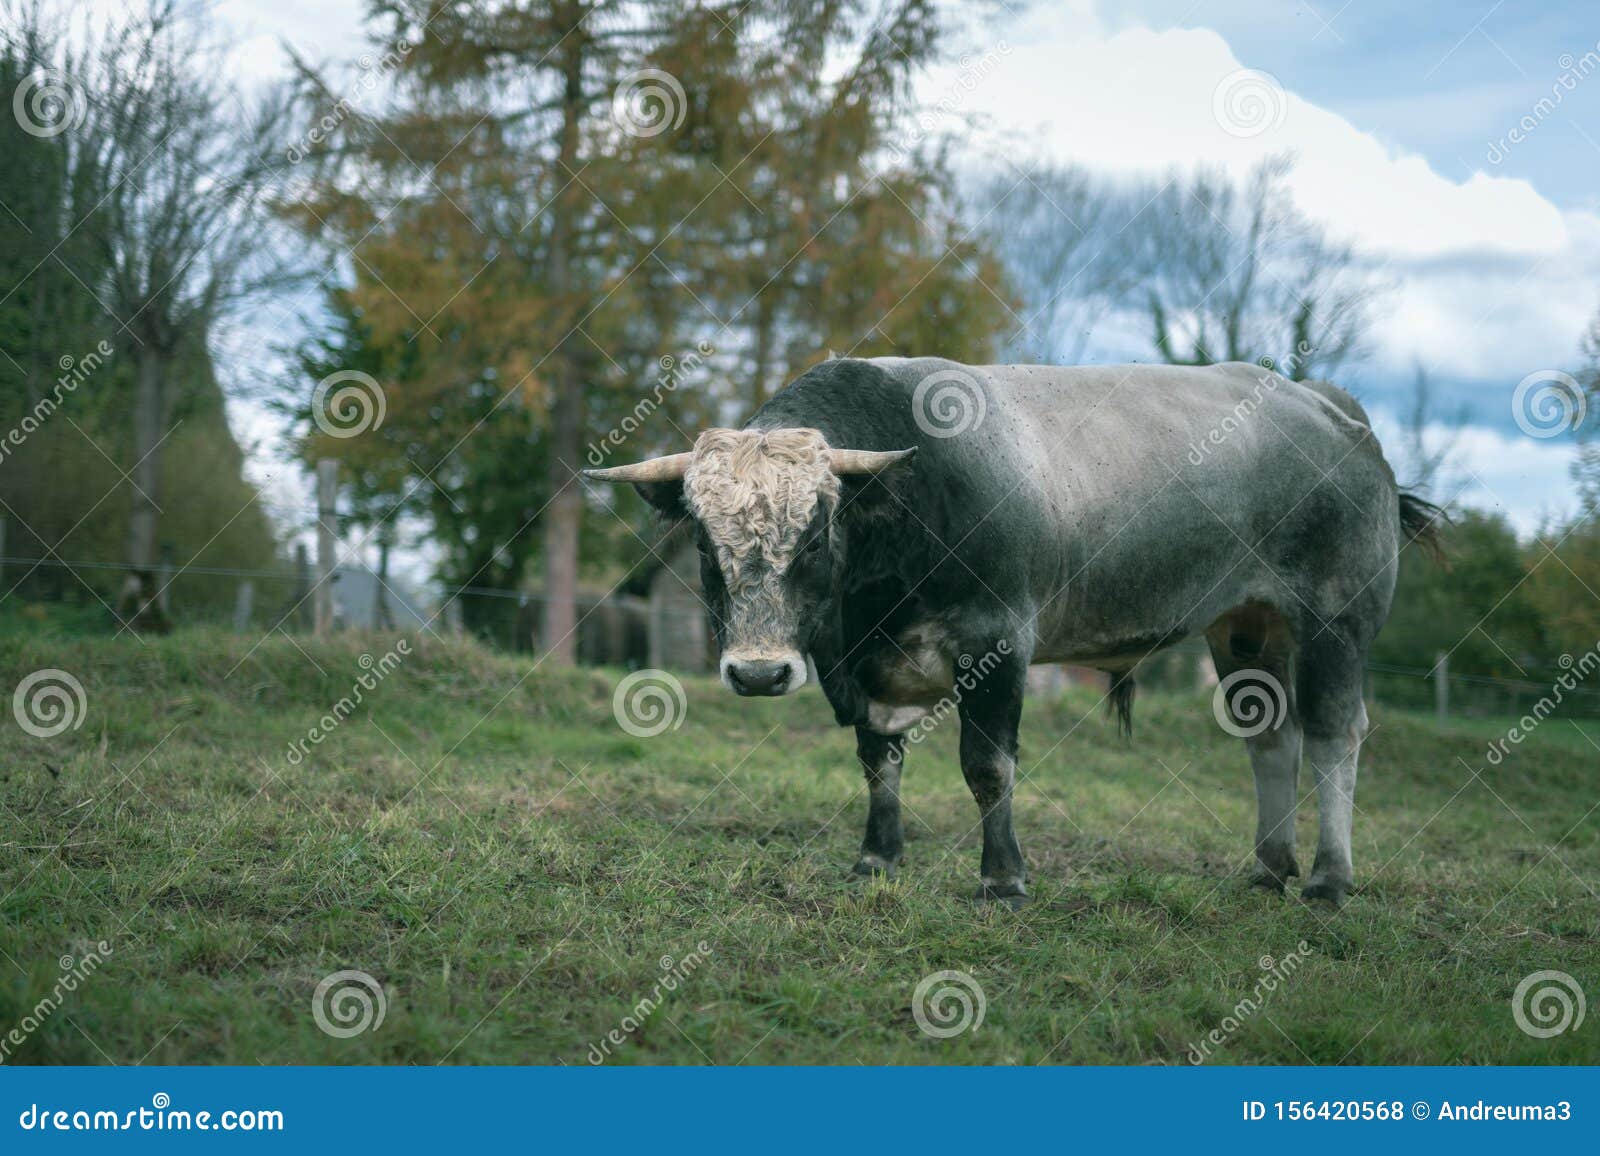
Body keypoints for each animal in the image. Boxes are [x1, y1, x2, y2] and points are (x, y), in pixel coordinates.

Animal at [584, 357, 1443, 908]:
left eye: (818, 537)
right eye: (704, 542)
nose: (759, 674)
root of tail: (1331, 408)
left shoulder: (996, 644)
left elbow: (987, 767)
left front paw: (1002, 878)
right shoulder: (865, 664)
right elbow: (878, 759)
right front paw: (876, 859)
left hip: (1337, 621)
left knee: (1333, 734)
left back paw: (1328, 880)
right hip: (1245, 632)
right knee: (1271, 739)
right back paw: (1268, 869)